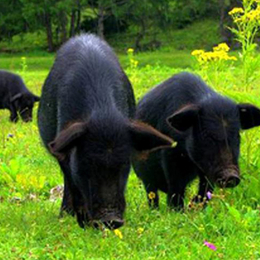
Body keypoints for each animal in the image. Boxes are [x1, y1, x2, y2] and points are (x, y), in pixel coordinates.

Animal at [37, 33, 173, 229]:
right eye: (88, 163)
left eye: (124, 164)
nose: (111, 220)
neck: (103, 113)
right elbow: (72, 182)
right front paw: (82, 223)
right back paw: (64, 215)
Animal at [133, 72, 260, 210]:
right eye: (205, 134)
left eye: (237, 134)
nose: (230, 175)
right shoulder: (171, 156)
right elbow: (176, 186)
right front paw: (177, 211)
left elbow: (206, 187)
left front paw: (195, 206)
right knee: (151, 191)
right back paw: (154, 209)